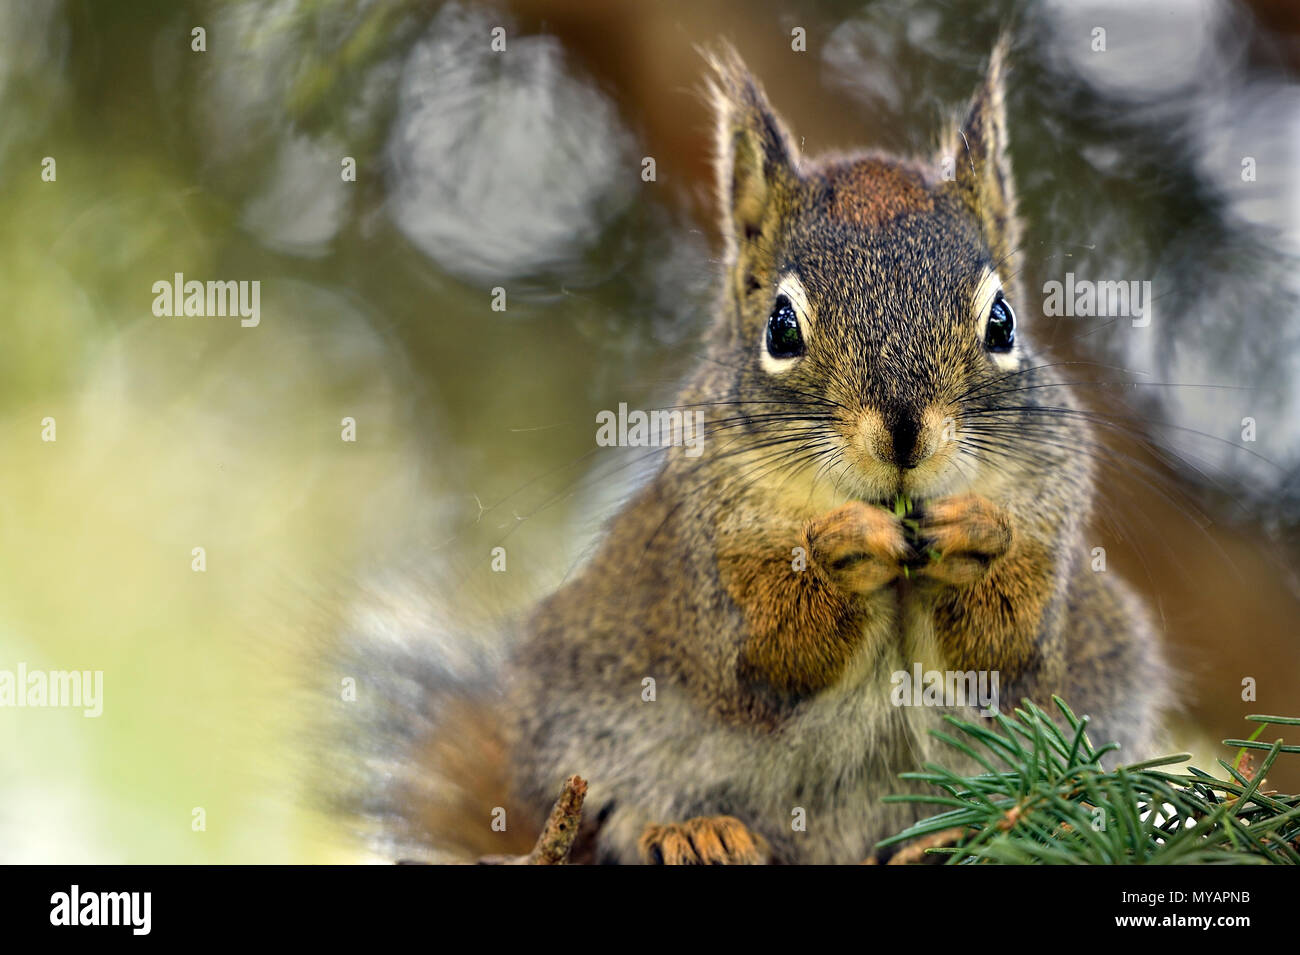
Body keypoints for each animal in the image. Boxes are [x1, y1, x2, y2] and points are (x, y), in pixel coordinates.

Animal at [342, 39, 1170, 865]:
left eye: (1002, 322)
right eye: (781, 327)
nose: (906, 433)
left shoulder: (1051, 503)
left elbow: (1008, 647)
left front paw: (978, 537)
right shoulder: (712, 555)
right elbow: (766, 650)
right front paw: (839, 550)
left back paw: (957, 832)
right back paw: (694, 831)